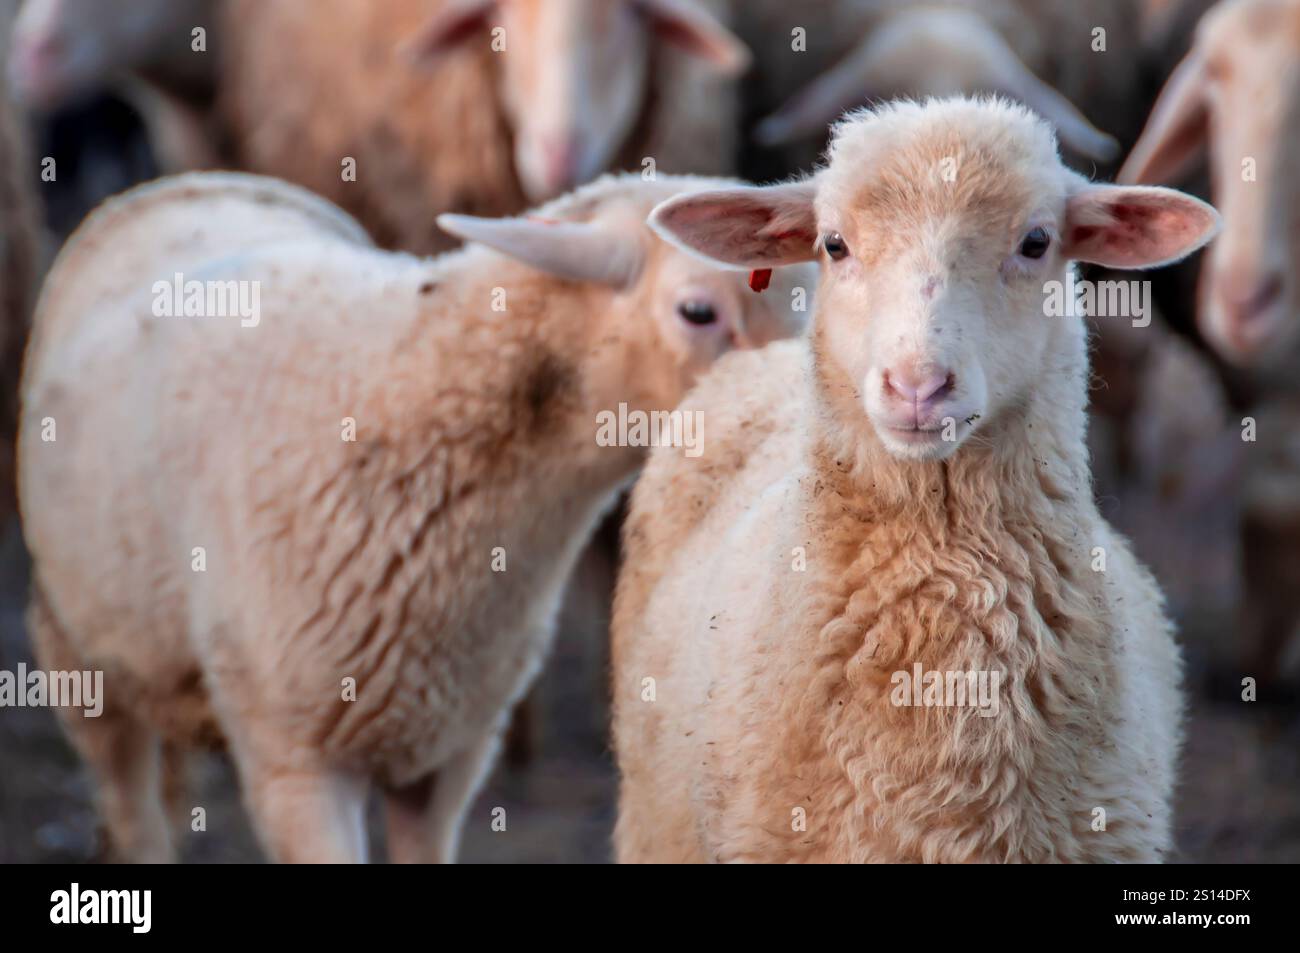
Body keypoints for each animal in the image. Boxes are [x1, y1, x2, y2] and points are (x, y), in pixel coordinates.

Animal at [19, 170, 815, 863]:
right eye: (698, 311)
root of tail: (184, 184)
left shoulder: (449, 752)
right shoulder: (294, 761)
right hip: (74, 645)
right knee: (128, 801)